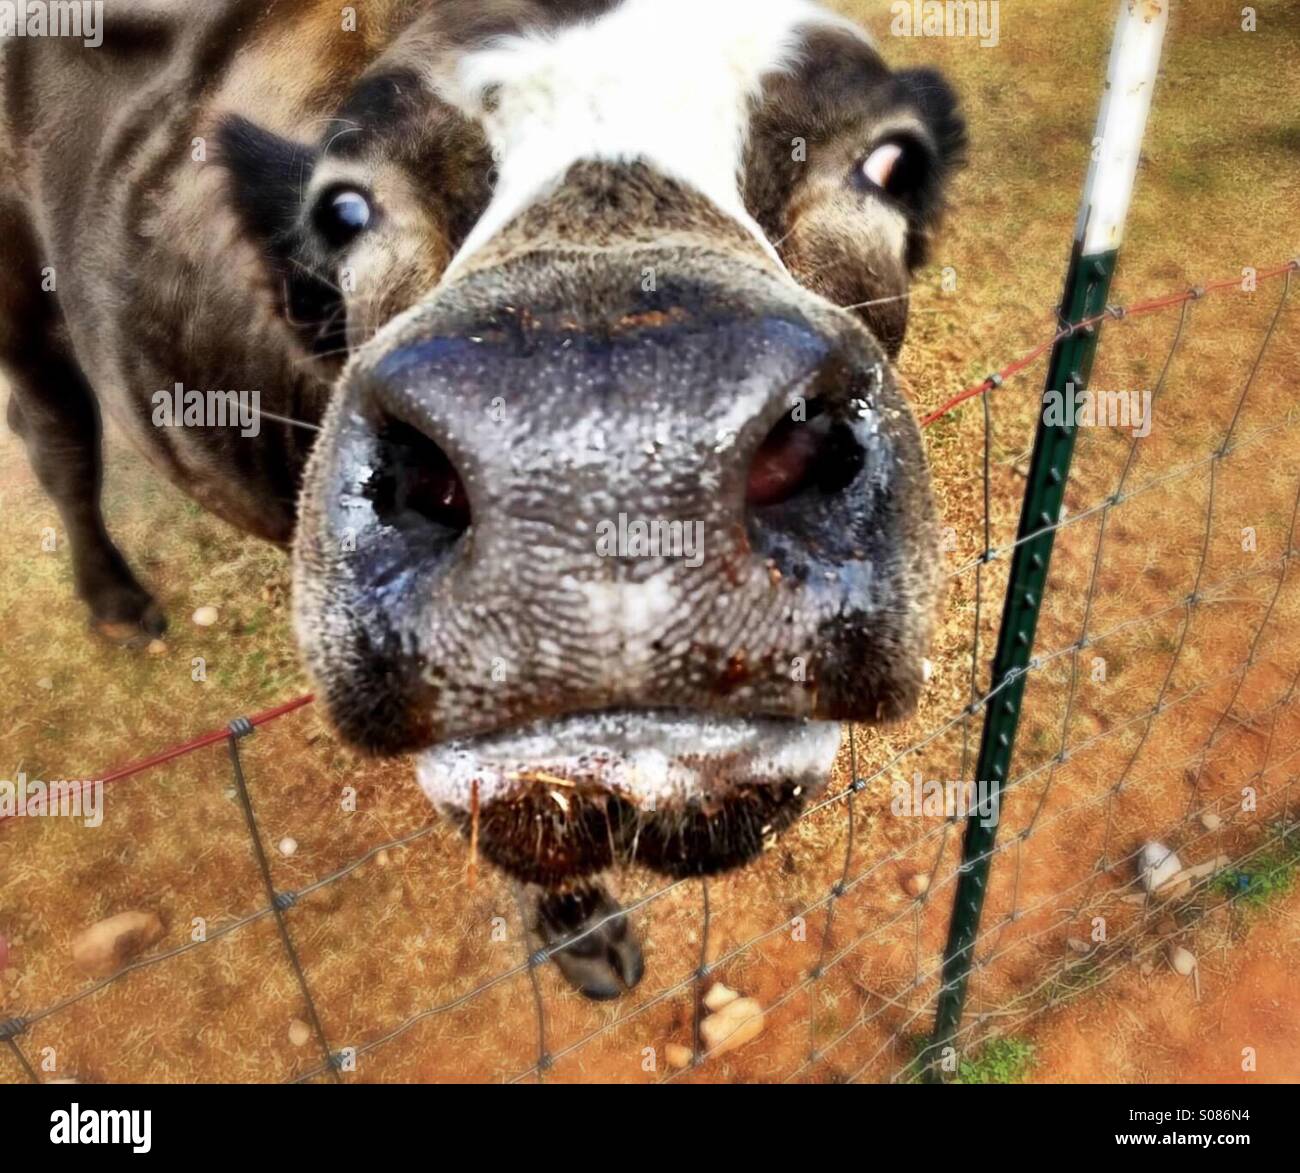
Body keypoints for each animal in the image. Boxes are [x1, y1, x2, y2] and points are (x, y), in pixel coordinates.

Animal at [0, 0, 963, 999]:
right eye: (344, 208)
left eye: (891, 162)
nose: (609, 464)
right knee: (55, 431)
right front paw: (582, 932)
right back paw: (115, 600)